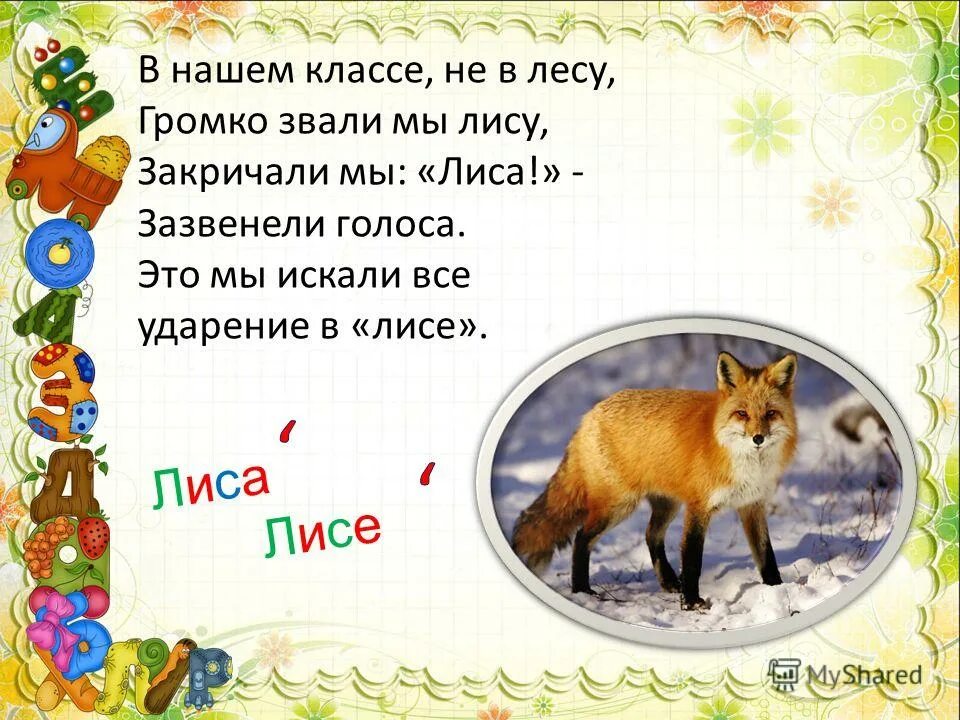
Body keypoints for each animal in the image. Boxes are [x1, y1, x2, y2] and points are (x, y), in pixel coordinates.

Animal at [511, 351, 798, 610]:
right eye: (742, 414)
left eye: (770, 413)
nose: (758, 438)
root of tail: (589, 415)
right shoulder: (698, 506)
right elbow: (692, 558)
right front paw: (691, 602)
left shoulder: (752, 504)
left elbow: (766, 554)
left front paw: (777, 588)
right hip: (618, 506)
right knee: (582, 538)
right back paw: (582, 590)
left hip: (666, 505)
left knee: (651, 535)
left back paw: (669, 582)